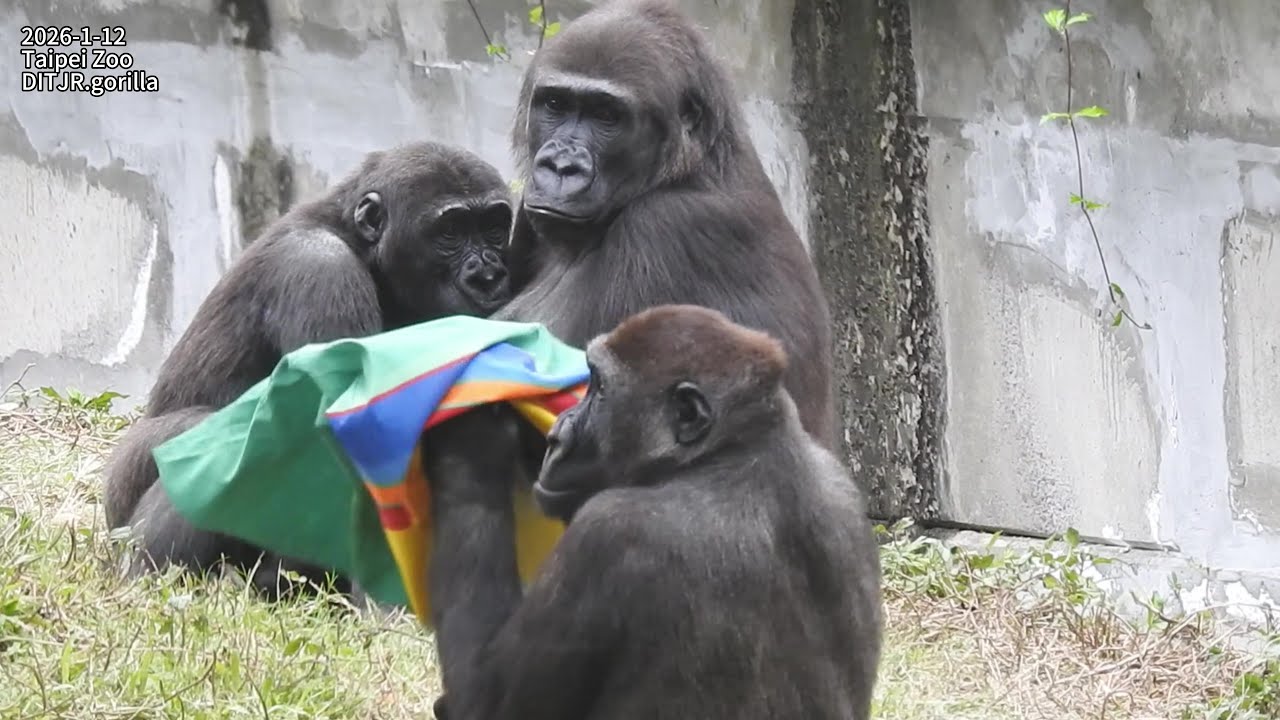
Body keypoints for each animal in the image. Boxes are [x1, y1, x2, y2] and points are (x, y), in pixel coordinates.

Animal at [428, 304, 882, 720]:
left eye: (600, 389)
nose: (557, 434)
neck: (738, 447)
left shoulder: (605, 533)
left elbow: (481, 704)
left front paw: (469, 443)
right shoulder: (842, 489)